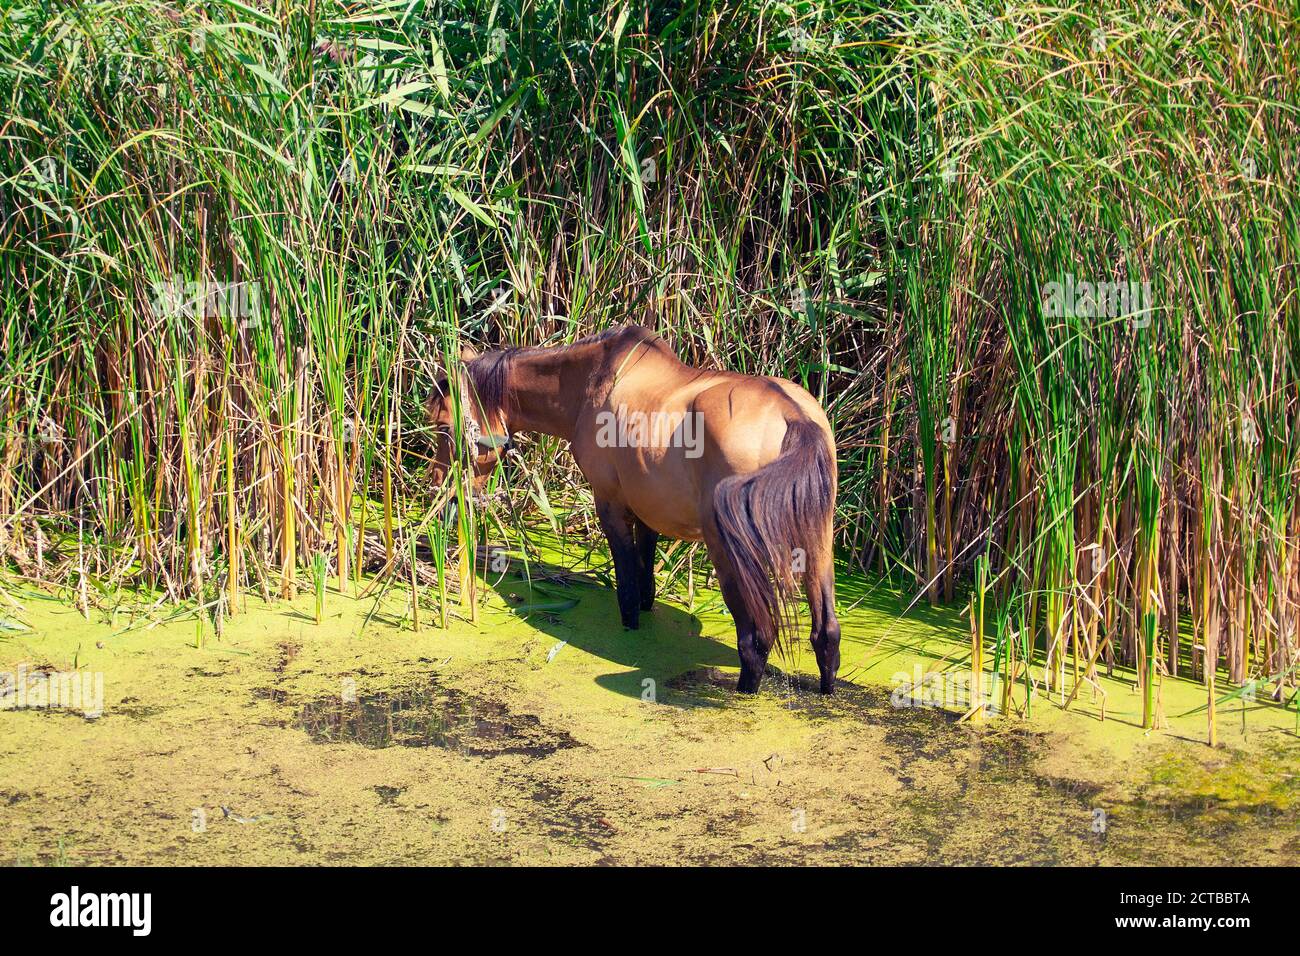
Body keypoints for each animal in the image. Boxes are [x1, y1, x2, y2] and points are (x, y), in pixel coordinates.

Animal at [426, 324, 839, 694]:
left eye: (443, 426)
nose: (440, 488)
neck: (587, 385)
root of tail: (792, 416)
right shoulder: (647, 511)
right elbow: (645, 582)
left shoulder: (609, 502)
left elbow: (626, 587)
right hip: (817, 545)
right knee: (826, 636)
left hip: (729, 553)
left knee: (755, 640)